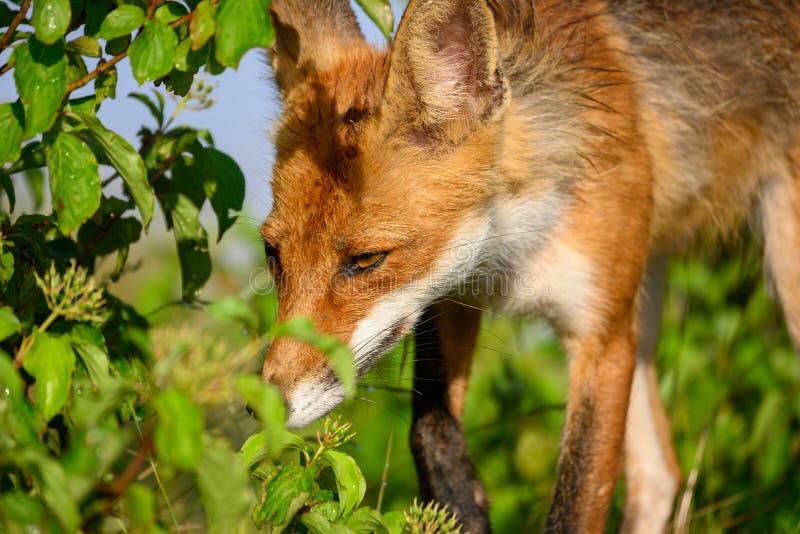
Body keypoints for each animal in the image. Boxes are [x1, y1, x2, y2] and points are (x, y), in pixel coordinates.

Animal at [258, 0, 800, 532]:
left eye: (367, 259)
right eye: (273, 255)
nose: (263, 406)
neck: (515, 248)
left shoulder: (601, 335)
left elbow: (575, 504)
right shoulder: (452, 296)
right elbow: (430, 430)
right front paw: (462, 506)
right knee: (659, 473)